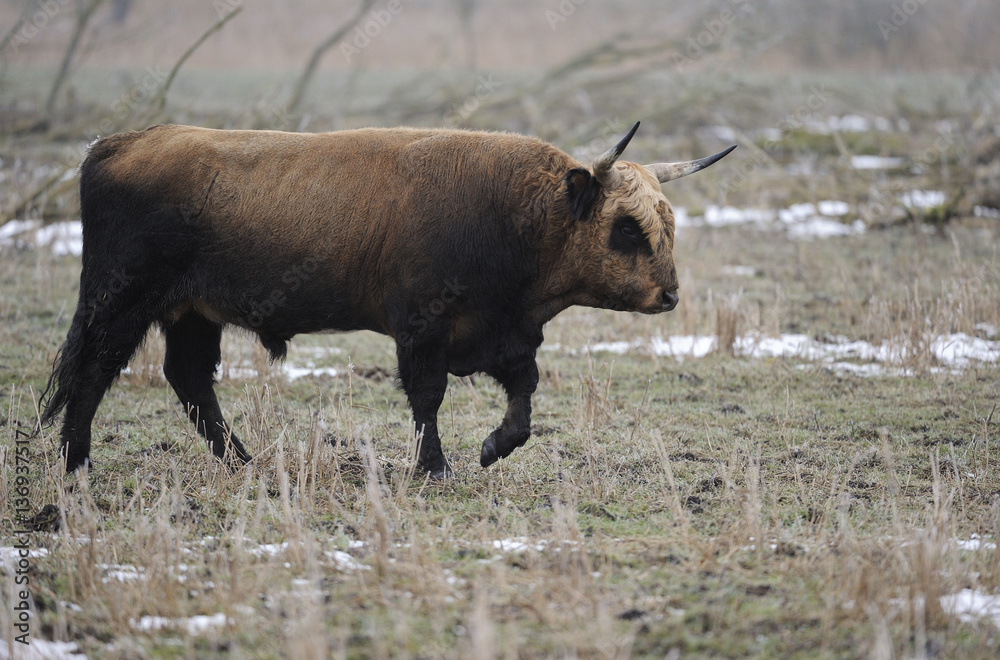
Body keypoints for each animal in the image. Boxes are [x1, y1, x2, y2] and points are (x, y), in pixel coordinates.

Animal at [40, 121, 734, 479]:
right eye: (626, 227)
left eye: (666, 221)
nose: (670, 295)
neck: (516, 210)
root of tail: (119, 143)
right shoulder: (422, 330)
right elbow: (428, 398)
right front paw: (434, 466)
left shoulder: (508, 336)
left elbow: (523, 401)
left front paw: (493, 447)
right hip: (120, 305)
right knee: (95, 371)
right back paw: (77, 463)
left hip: (191, 314)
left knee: (188, 382)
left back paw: (244, 461)